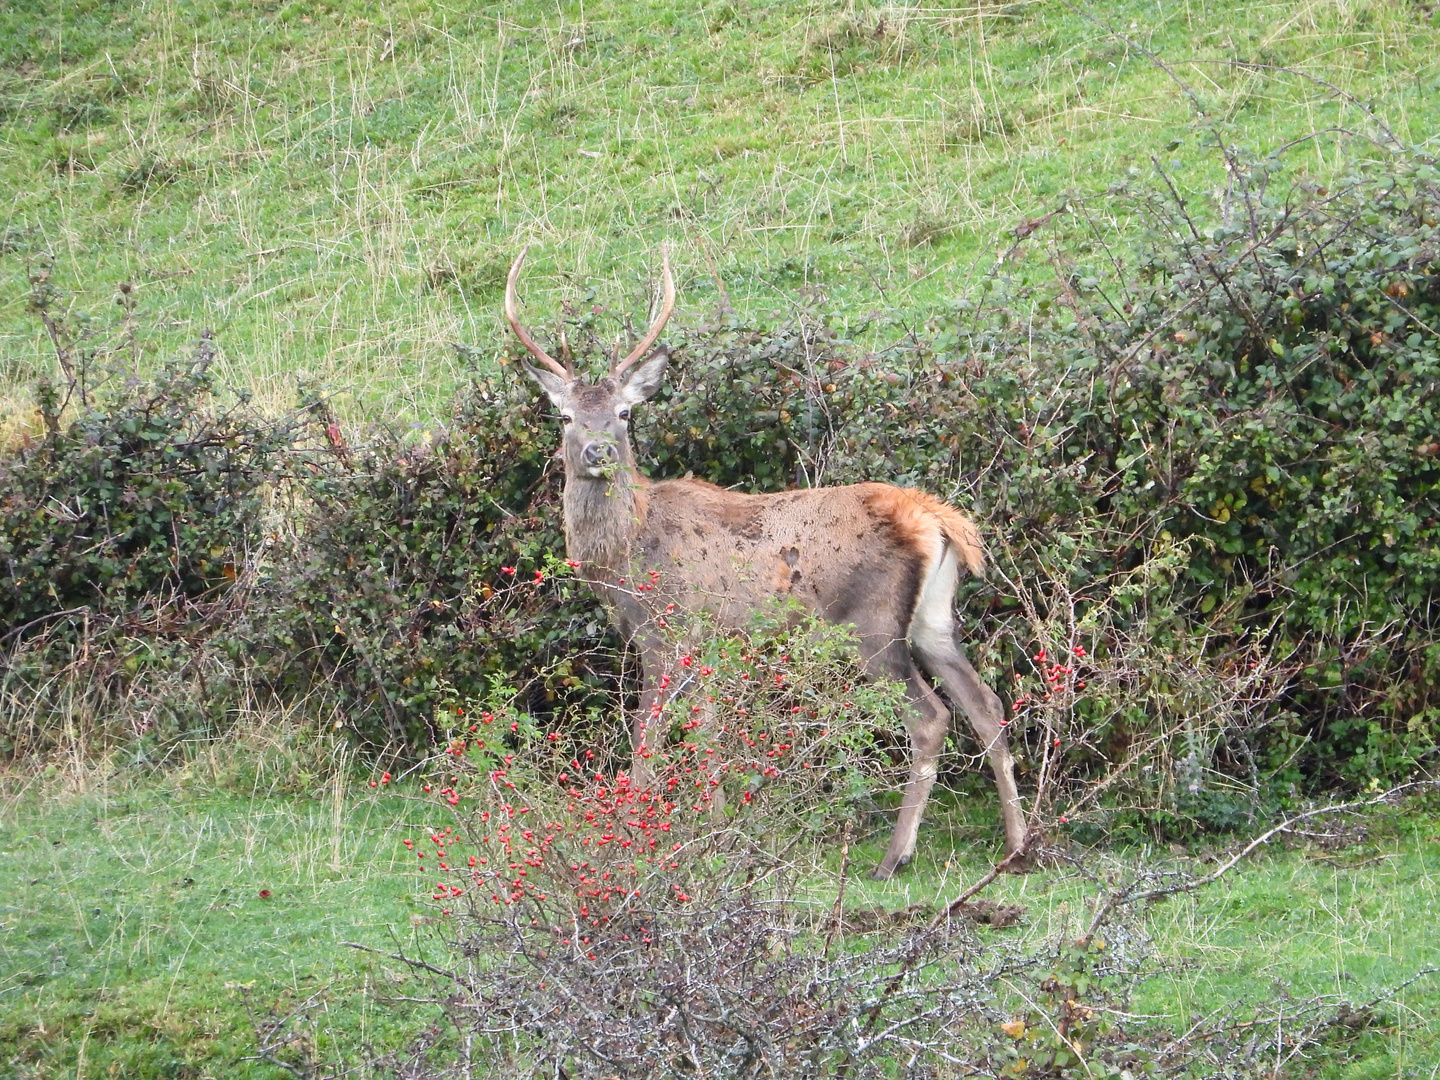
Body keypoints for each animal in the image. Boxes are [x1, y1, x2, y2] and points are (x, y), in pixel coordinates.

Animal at [504, 247, 1025, 881]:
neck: (625, 557)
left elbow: (649, 731)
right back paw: (1017, 843)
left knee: (929, 719)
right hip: (933, 619)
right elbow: (705, 729)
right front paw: (715, 826)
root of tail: (940, 520)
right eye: (565, 416)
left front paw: (630, 834)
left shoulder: (667, 628)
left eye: (625, 413)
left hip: (872, 623)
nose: (597, 450)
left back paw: (895, 856)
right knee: (986, 705)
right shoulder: (706, 641)